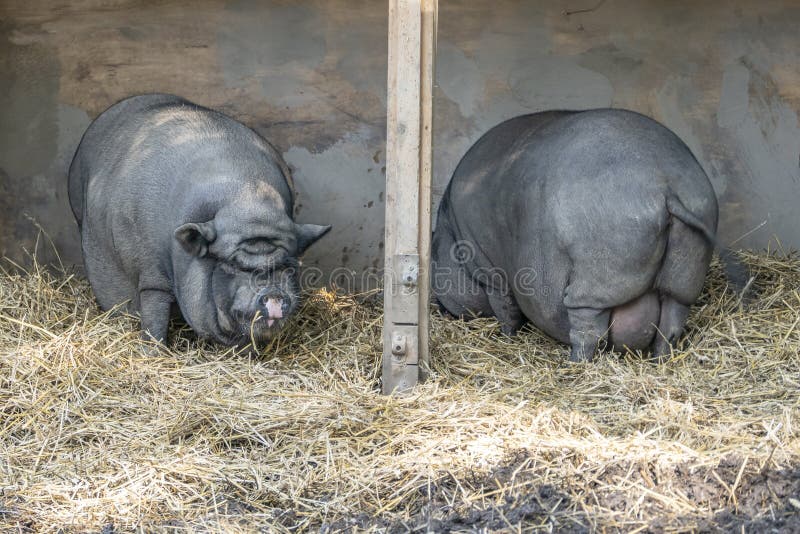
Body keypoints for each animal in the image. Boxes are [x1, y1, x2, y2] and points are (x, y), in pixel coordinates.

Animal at [68, 93, 330, 347]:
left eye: (289, 267)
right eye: (230, 265)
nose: (274, 295)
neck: (246, 202)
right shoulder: (152, 272)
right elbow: (154, 312)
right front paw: (152, 351)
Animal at [432, 109, 744, 361]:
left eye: (433, 252)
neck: (452, 234)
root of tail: (666, 186)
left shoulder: (491, 273)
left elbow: (506, 310)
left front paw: (505, 336)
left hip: (595, 279)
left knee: (587, 330)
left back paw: (572, 363)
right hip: (686, 274)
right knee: (671, 323)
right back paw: (660, 361)